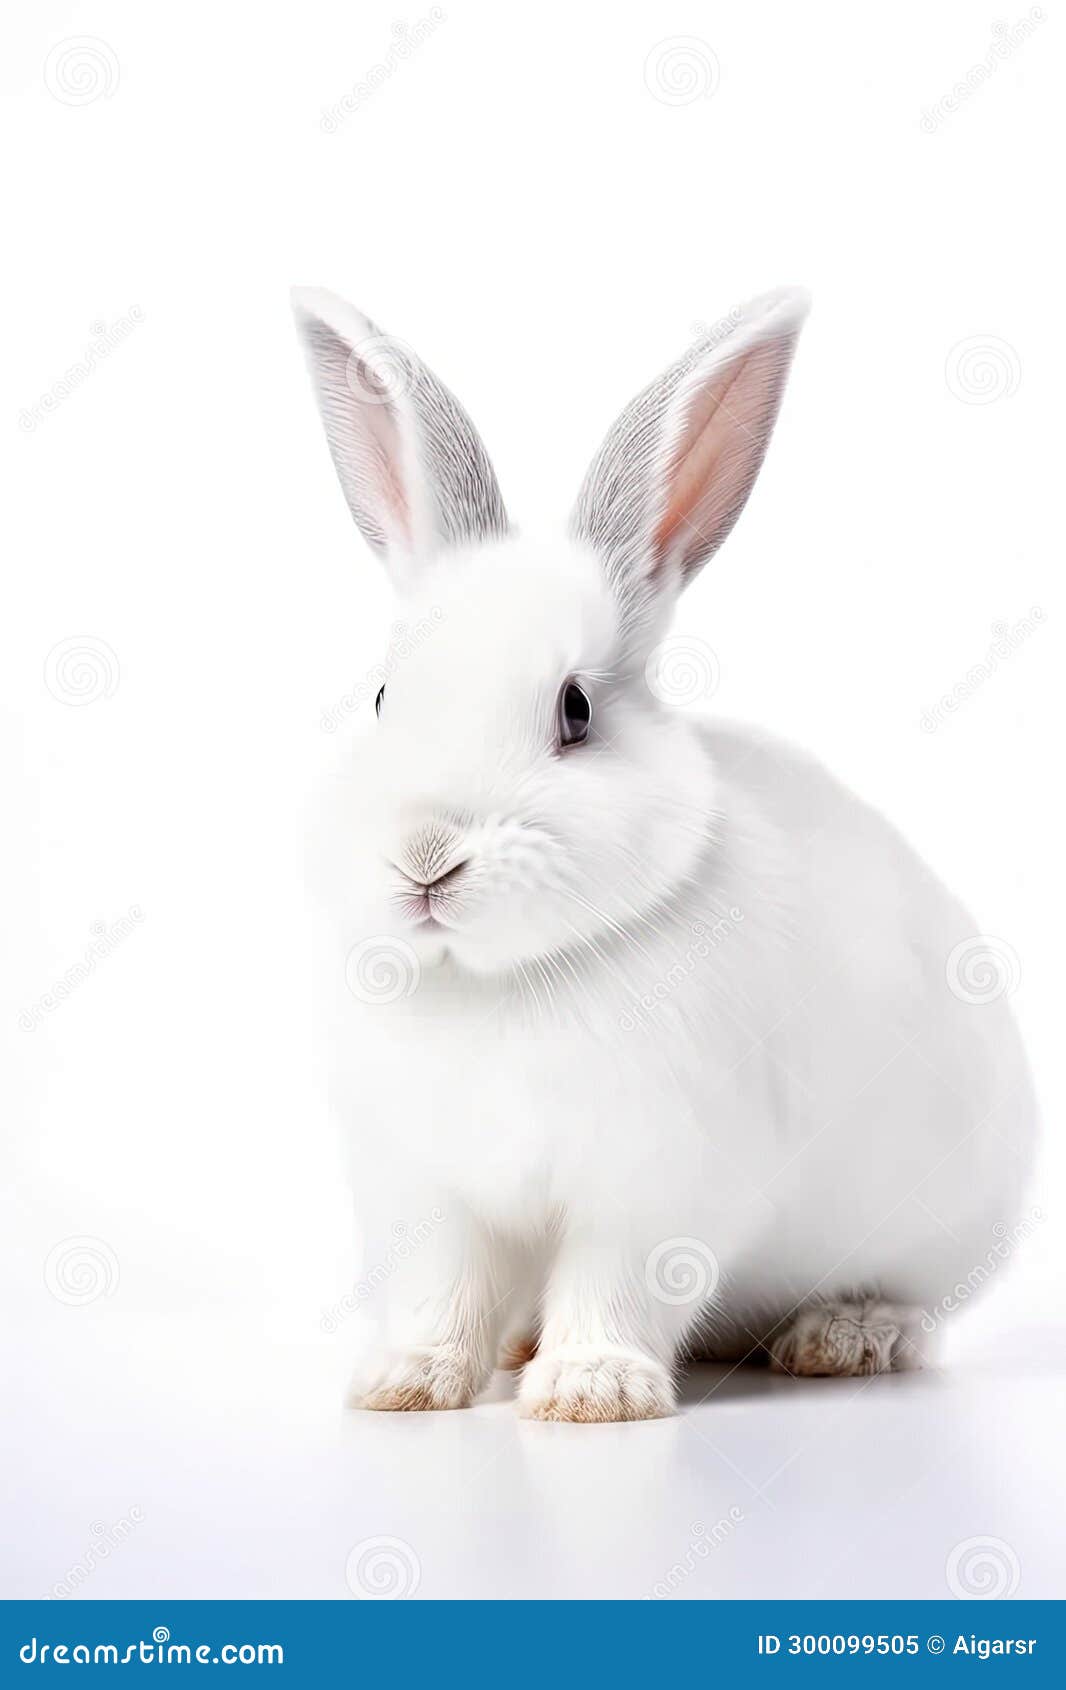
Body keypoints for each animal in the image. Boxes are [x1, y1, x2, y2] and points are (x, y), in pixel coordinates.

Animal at [292, 284, 1036, 1422]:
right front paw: (408, 1382)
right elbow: (444, 1292)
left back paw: (844, 1336)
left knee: (911, 1305)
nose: (425, 857)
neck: (506, 981)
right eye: (382, 697)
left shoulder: (655, 1186)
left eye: (575, 709)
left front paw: (591, 1391)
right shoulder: (431, 1195)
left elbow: (616, 1285)